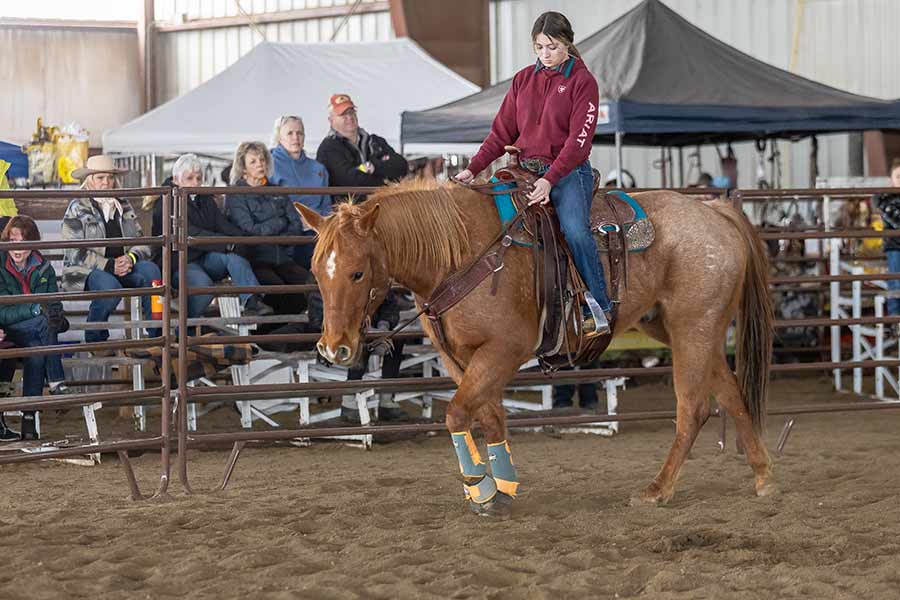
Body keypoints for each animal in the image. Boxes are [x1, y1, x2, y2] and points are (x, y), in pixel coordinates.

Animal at [294, 178, 775, 517]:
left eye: (357, 273)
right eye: (316, 269)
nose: (333, 348)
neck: (459, 255)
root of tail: (715, 211)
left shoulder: (504, 350)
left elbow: (457, 414)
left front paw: (482, 491)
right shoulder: (460, 358)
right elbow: (489, 416)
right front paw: (502, 487)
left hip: (693, 326)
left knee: (693, 408)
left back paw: (658, 490)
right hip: (689, 329)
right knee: (731, 394)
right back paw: (762, 474)